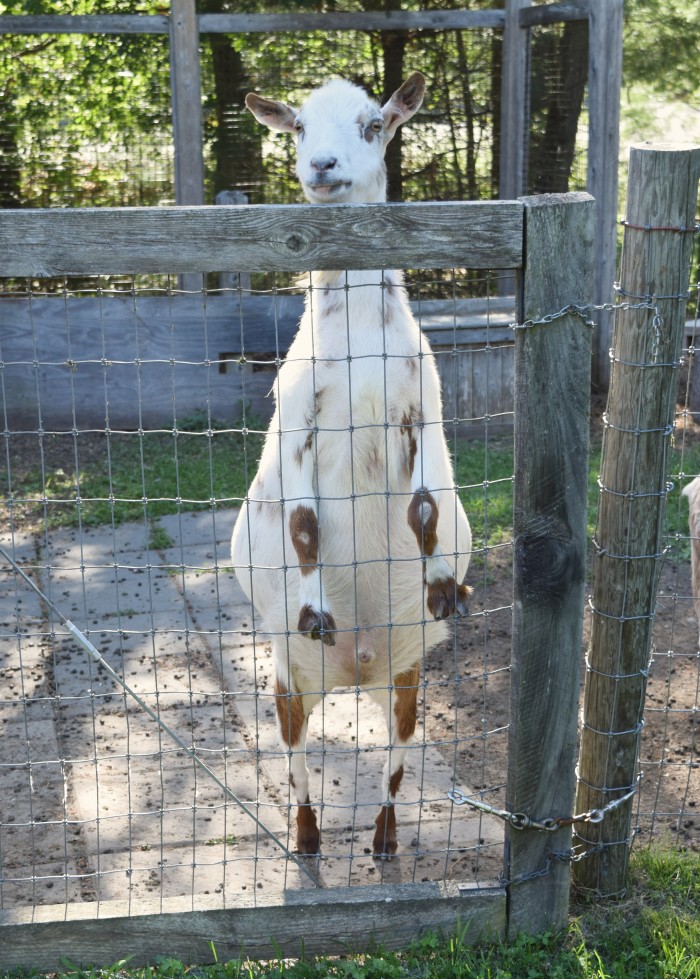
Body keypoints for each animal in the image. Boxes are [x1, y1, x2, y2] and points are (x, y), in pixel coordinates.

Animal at [231, 74, 472, 857]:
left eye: (373, 124)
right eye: (299, 127)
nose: (322, 166)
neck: (362, 342)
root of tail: (355, 668)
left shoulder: (420, 403)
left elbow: (423, 507)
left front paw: (441, 584)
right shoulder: (301, 413)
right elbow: (305, 522)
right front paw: (317, 605)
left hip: (407, 672)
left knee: (397, 748)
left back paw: (386, 836)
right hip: (288, 676)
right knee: (295, 750)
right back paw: (306, 836)